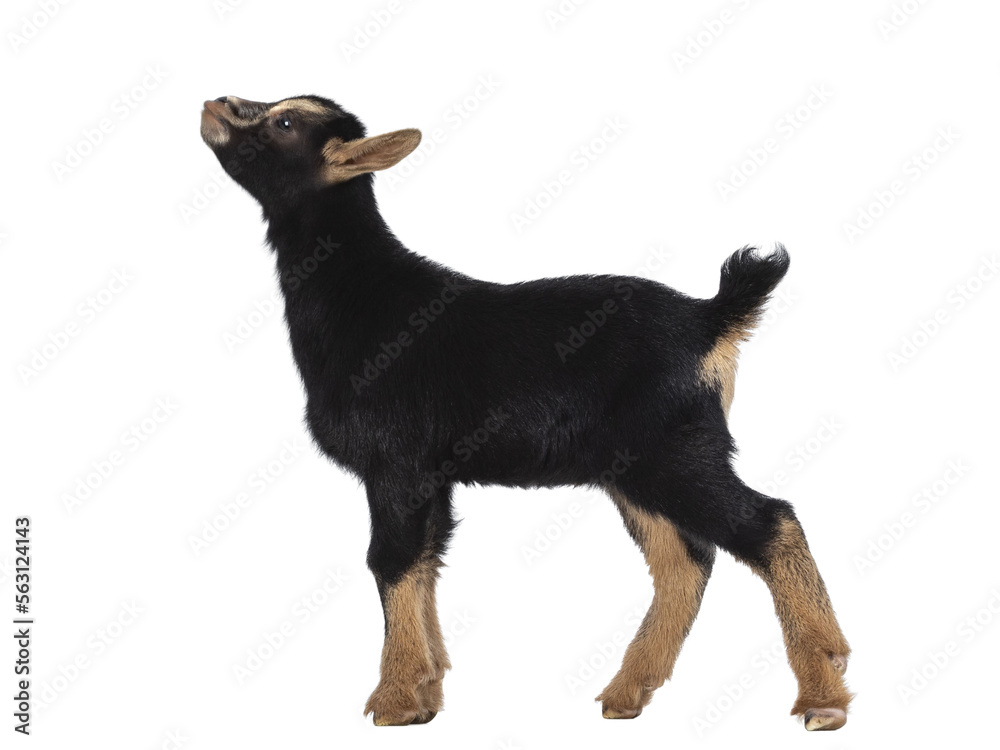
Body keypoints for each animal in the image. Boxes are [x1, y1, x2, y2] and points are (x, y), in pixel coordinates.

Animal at [199, 94, 852, 730]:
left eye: (285, 121)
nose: (214, 105)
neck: (359, 293)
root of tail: (711, 318)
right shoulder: (433, 477)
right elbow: (426, 561)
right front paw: (427, 693)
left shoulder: (396, 465)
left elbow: (390, 561)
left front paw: (394, 700)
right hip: (635, 467)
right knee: (684, 561)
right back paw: (628, 692)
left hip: (674, 448)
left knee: (769, 522)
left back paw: (823, 692)